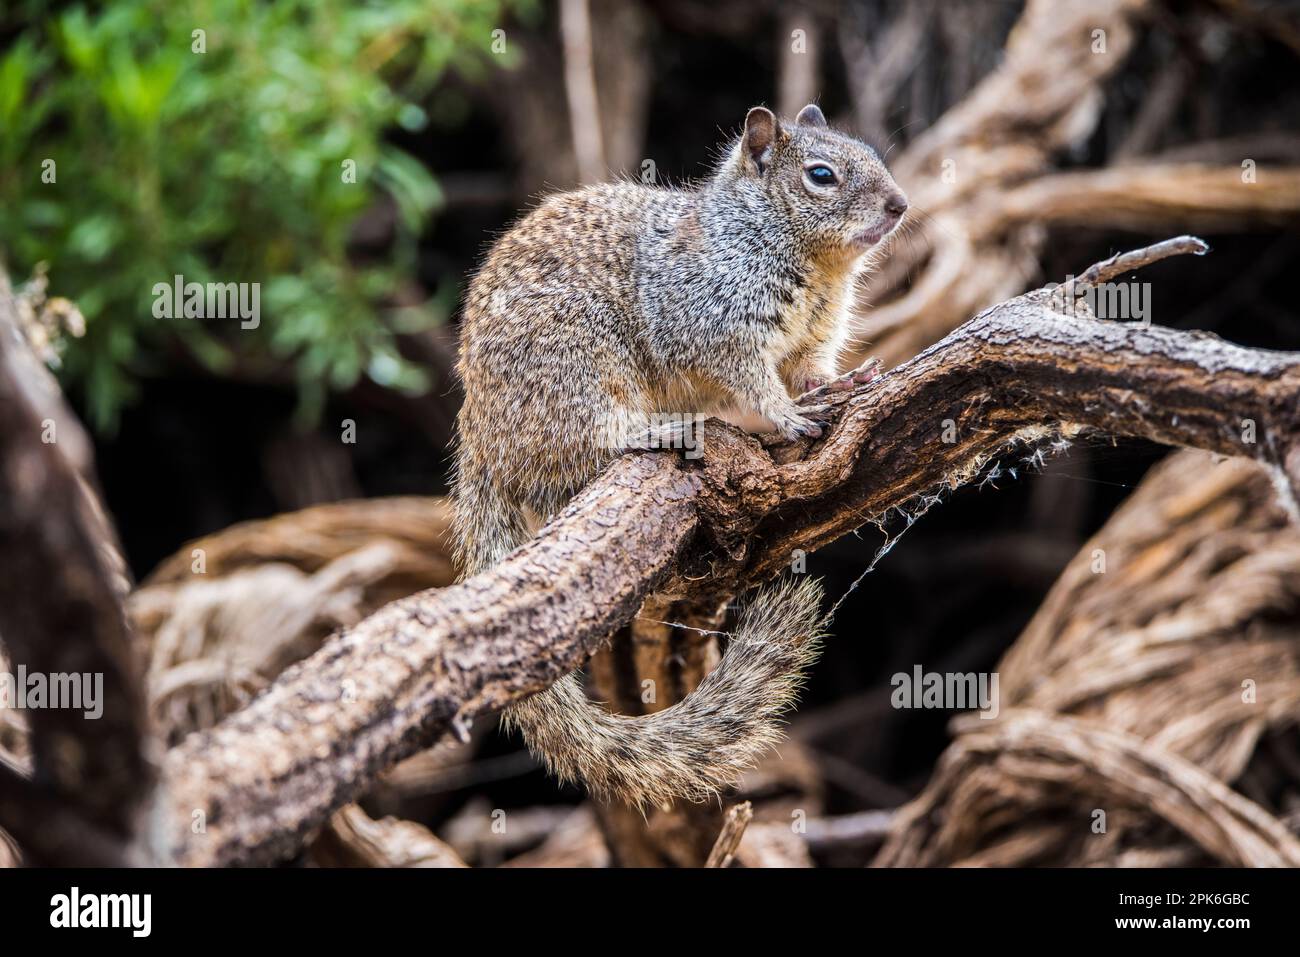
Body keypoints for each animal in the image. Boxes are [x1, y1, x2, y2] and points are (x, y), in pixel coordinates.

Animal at [451, 103, 908, 808]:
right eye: (821, 175)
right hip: (579, 367)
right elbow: (753, 383)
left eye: (871, 153)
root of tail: (480, 437)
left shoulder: (813, 338)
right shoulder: (714, 326)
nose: (900, 205)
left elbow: (808, 371)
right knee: (589, 441)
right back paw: (664, 430)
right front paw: (786, 415)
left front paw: (842, 384)